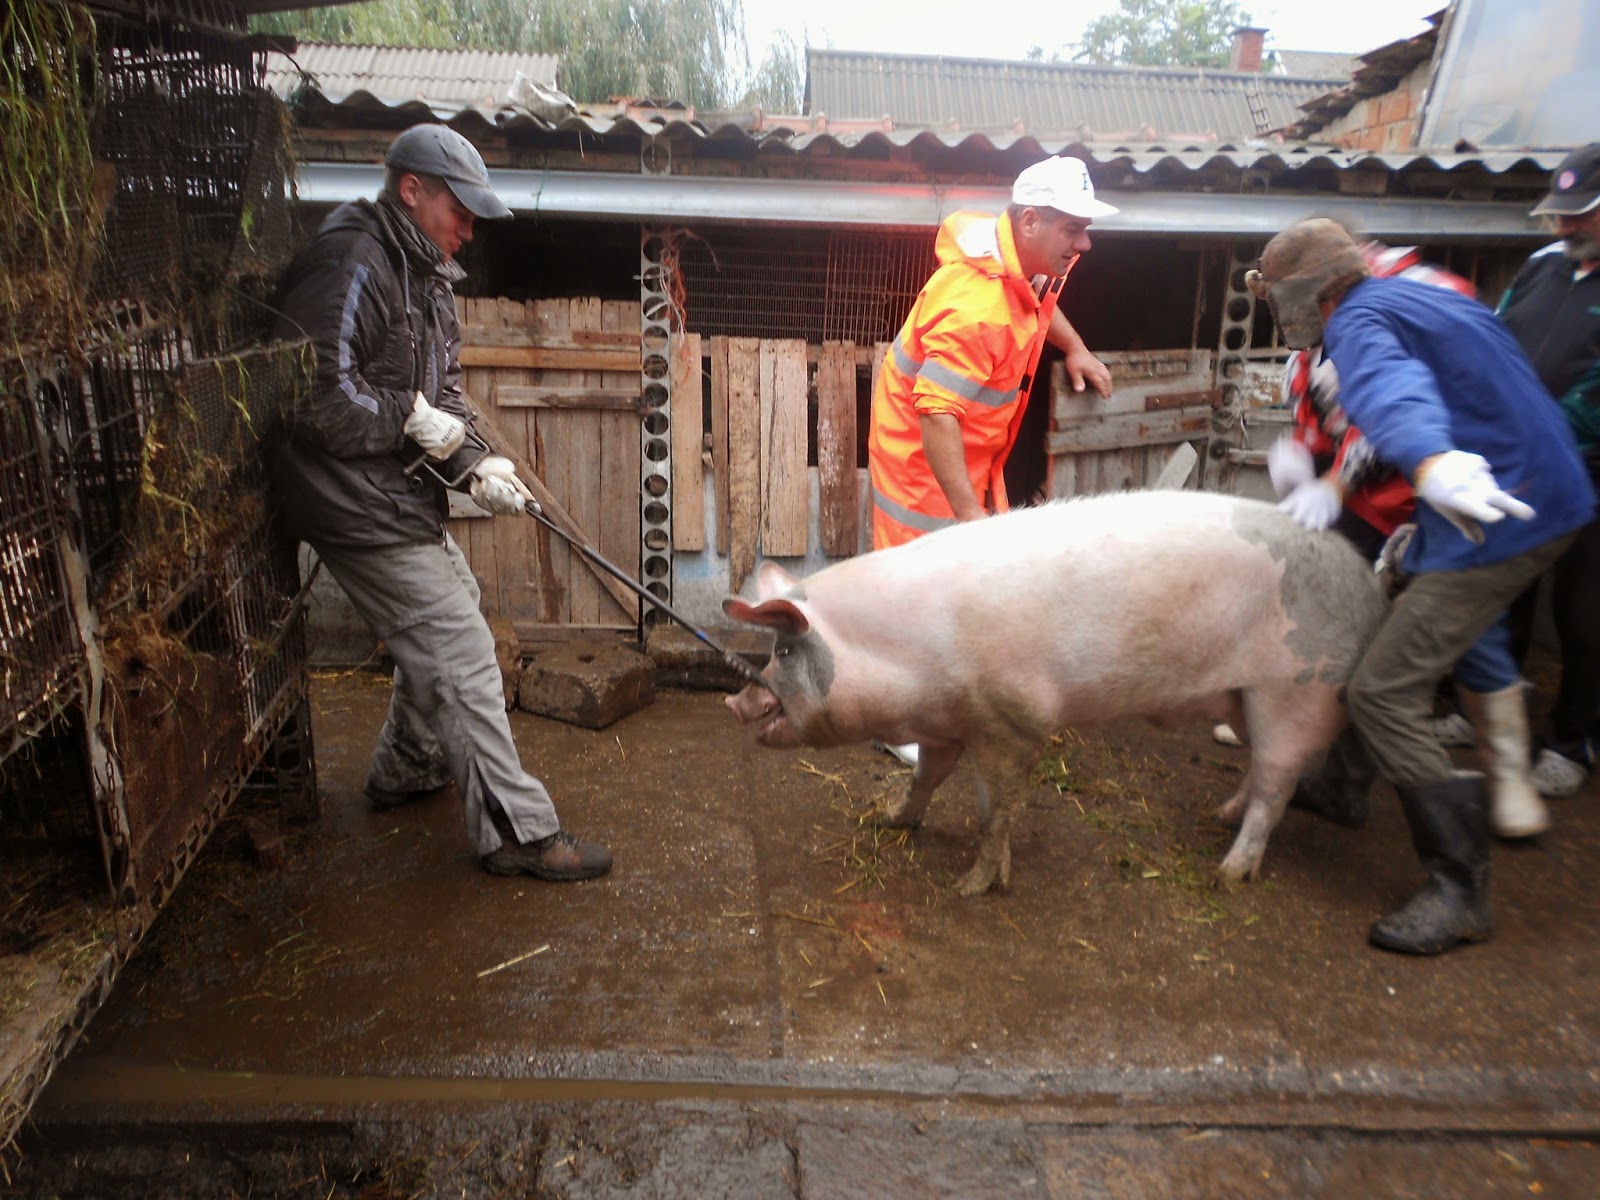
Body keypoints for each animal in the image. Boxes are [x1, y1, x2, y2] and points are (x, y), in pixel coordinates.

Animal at [722, 489, 1386, 896]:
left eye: (784, 654)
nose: (734, 702)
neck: (906, 658)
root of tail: (1368, 584)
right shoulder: (950, 722)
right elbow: (926, 779)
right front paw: (889, 822)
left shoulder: (1011, 722)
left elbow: (996, 812)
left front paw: (972, 888)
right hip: (1246, 697)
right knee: (1260, 775)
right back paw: (1216, 817)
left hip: (1298, 691)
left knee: (1277, 787)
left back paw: (1228, 872)